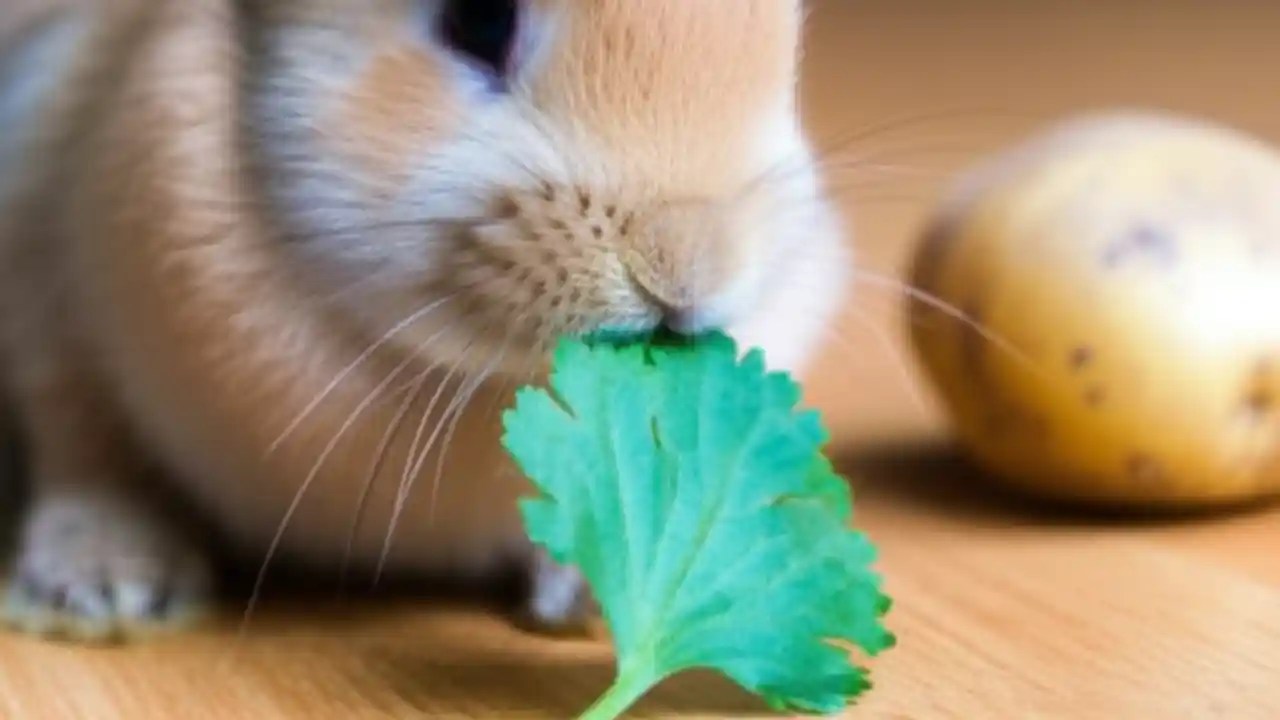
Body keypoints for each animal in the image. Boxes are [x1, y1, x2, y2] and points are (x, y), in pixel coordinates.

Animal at [0, 0, 850, 641]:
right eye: (479, 20)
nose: (687, 268)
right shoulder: (47, 293)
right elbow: (89, 450)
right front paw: (105, 585)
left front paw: (583, 588)